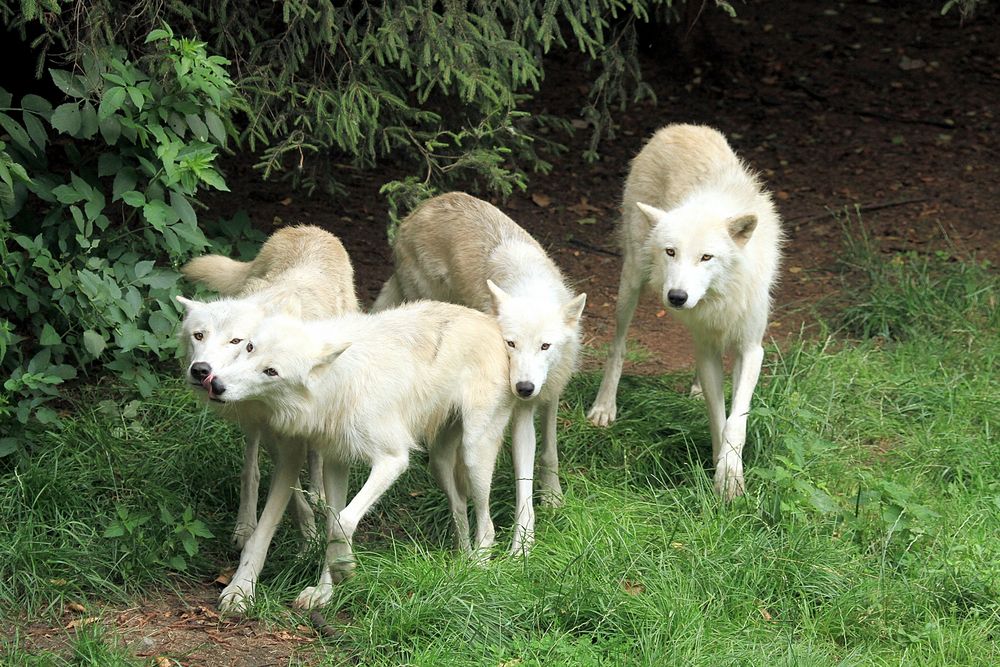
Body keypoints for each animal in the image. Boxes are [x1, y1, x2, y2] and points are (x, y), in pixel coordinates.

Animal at [179, 225, 358, 547]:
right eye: (198, 335)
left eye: (238, 342)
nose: (201, 371)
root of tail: (309, 228)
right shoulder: (258, 421)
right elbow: (255, 474)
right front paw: (247, 528)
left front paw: (309, 534)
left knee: (317, 453)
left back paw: (319, 493)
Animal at [181, 300, 513, 612]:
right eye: (249, 347)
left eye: (271, 371)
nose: (215, 383)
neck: (338, 383)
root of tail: (490, 323)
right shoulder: (335, 461)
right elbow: (332, 523)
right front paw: (324, 593)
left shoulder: (392, 459)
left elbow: (344, 519)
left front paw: (344, 569)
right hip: (439, 464)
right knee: (459, 507)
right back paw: (462, 564)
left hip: (474, 455)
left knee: (487, 524)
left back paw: (479, 568)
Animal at [373, 192, 587, 553]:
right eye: (510, 344)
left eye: (545, 346)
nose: (523, 387)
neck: (530, 287)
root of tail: (421, 209)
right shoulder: (519, 407)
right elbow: (522, 476)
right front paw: (522, 545)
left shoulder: (547, 393)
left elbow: (546, 452)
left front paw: (547, 503)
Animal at [586, 124, 783, 500]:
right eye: (670, 252)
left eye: (706, 257)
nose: (677, 297)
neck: (719, 296)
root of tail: (678, 127)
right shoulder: (707, 347)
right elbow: (719, 419)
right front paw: (723, 477)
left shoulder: (751, 349)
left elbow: (736, 421)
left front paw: (730, 477)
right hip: (631, 282)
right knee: (618, 346)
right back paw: (604, 407)